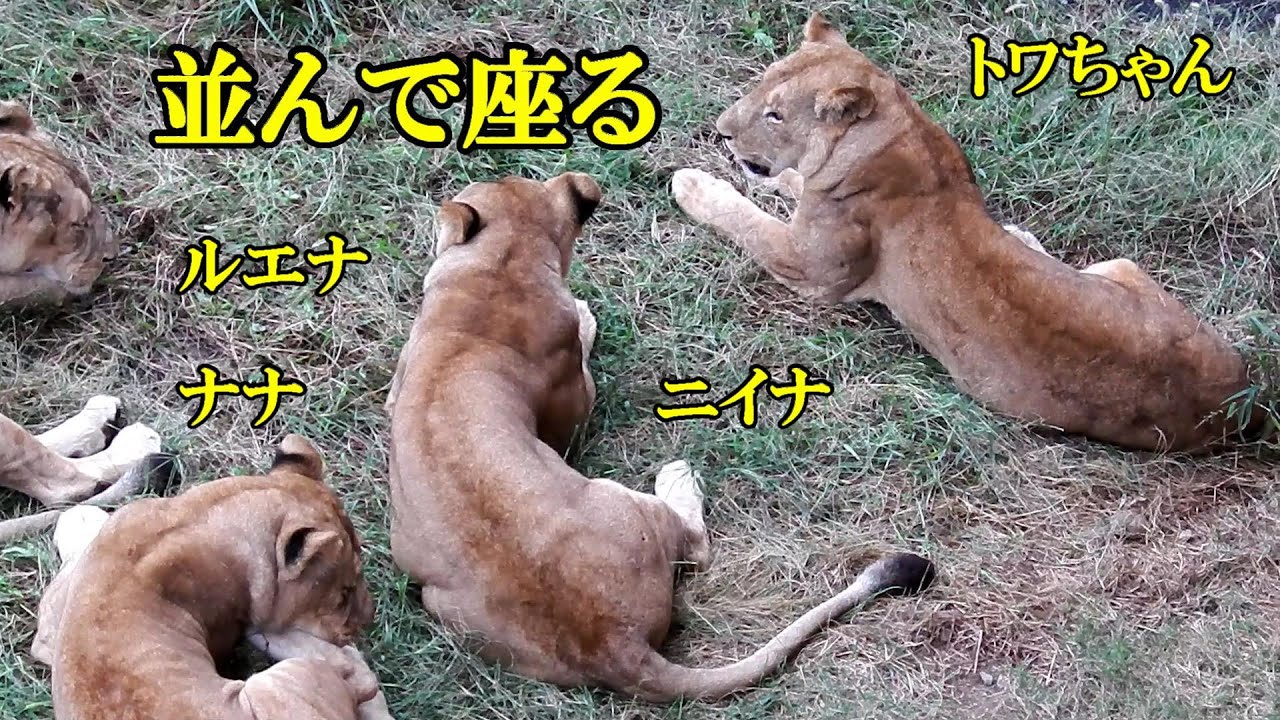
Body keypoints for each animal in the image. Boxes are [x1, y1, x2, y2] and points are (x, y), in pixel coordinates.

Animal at [672, 11, 1267, 452]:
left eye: (774, 115)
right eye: (760, 87)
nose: (721, 131)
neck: (897, 128)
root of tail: (1237, 407)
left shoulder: (813, 269)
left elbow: (746, 219)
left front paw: (692, 183)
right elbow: (792, 184)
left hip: (1119, 272)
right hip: (1128, 270)